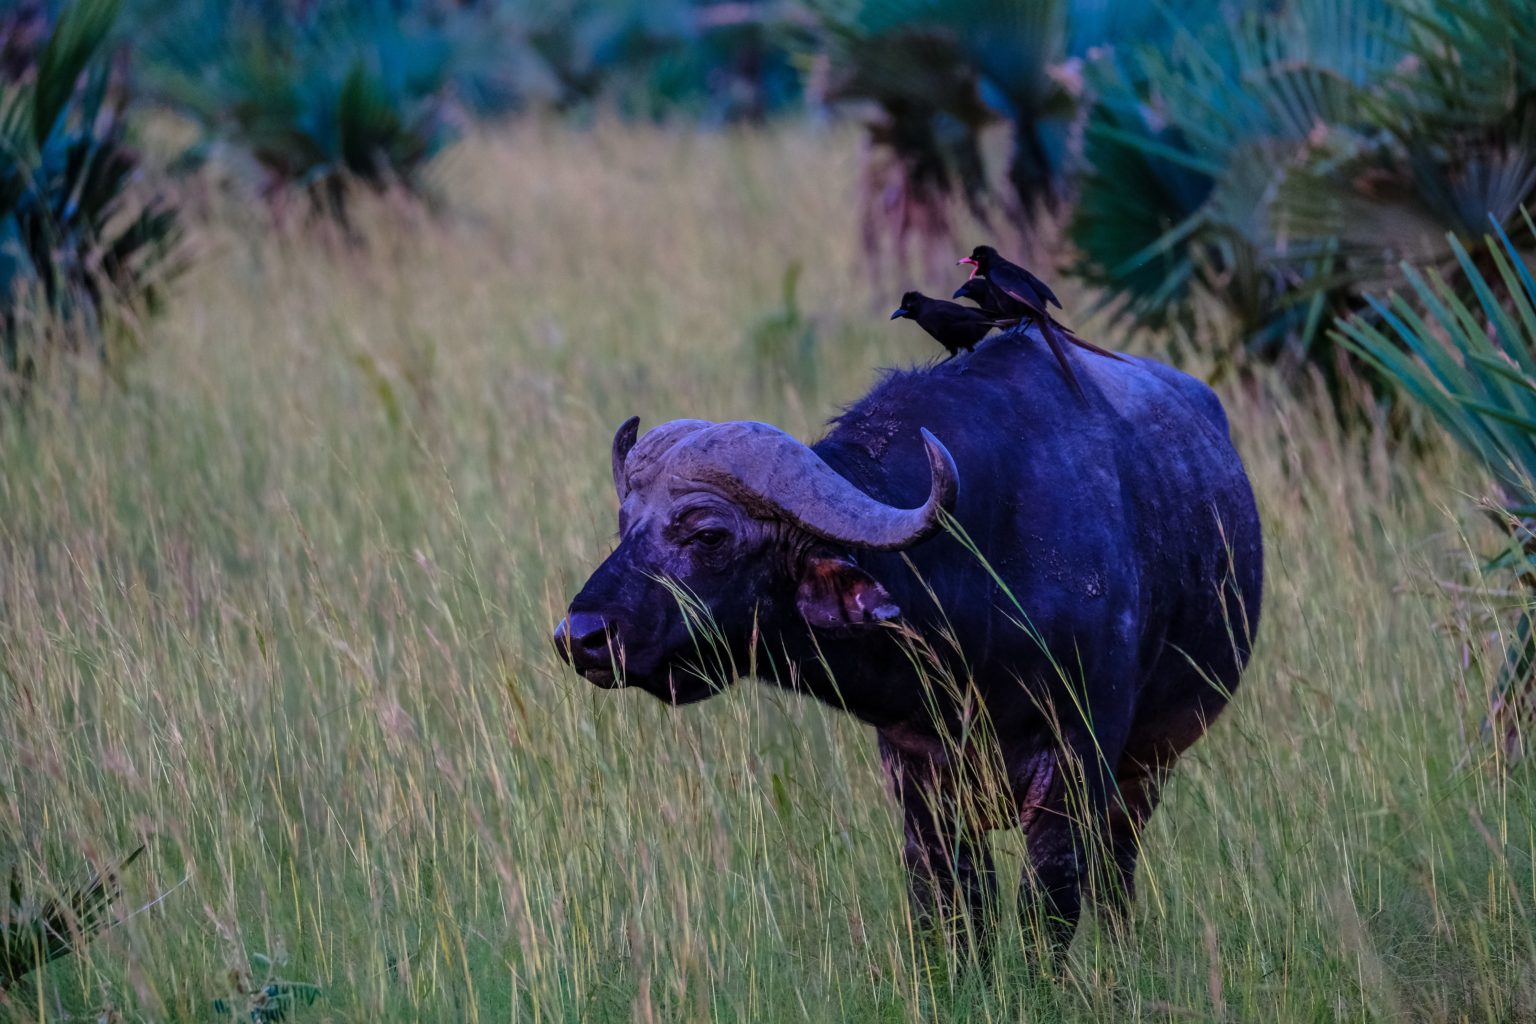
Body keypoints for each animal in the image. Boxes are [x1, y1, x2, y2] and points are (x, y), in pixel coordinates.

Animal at [554, 331, 1263, 958]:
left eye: (707, 534)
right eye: (625, 525)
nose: (581, 637)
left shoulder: (1079, 759)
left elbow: (1047, 911)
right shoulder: (921, 784)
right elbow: (952, 913)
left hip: (1147, 768)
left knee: (1116, 878)